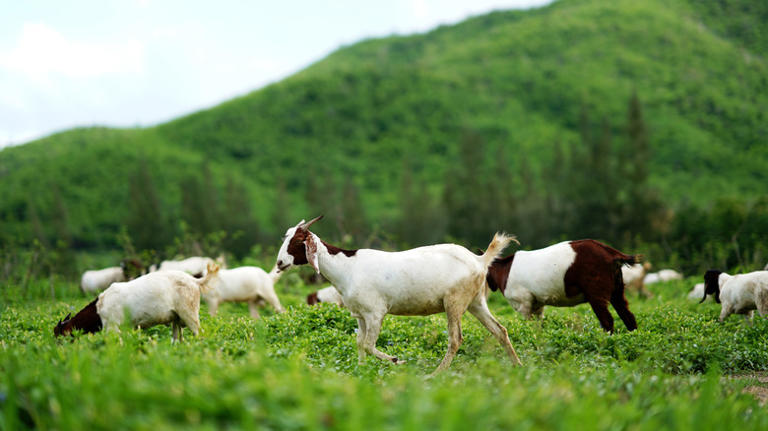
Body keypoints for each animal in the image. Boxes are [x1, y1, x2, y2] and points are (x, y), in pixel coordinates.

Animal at [55, 265, 218, 341]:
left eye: (59, 335)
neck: (98, 310)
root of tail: (195, 280)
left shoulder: (113, 327)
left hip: (189, 313)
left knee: (199, 333)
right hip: (177, 318)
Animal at [276, 216, 522, 373]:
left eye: (297, 241)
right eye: (285, 237)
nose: (279, 263)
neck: (346, 267)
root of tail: (479, 260)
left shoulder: (375, 313)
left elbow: (368, 345)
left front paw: (397, 360)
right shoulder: (360, 315)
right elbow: (359, 343)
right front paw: (361, 371)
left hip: (454, 301)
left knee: (455, 339)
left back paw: (436, 374)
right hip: (475, 302)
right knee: (500, 330)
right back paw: (518, 366)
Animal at [486, 239, 639, 333]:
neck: (504, 270)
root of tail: (610, 253)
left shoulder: (523, 304)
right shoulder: (537, 305)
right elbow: (538, 327)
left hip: (596, 294)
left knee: (607, 320)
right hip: (617, 291)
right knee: (627, 315)